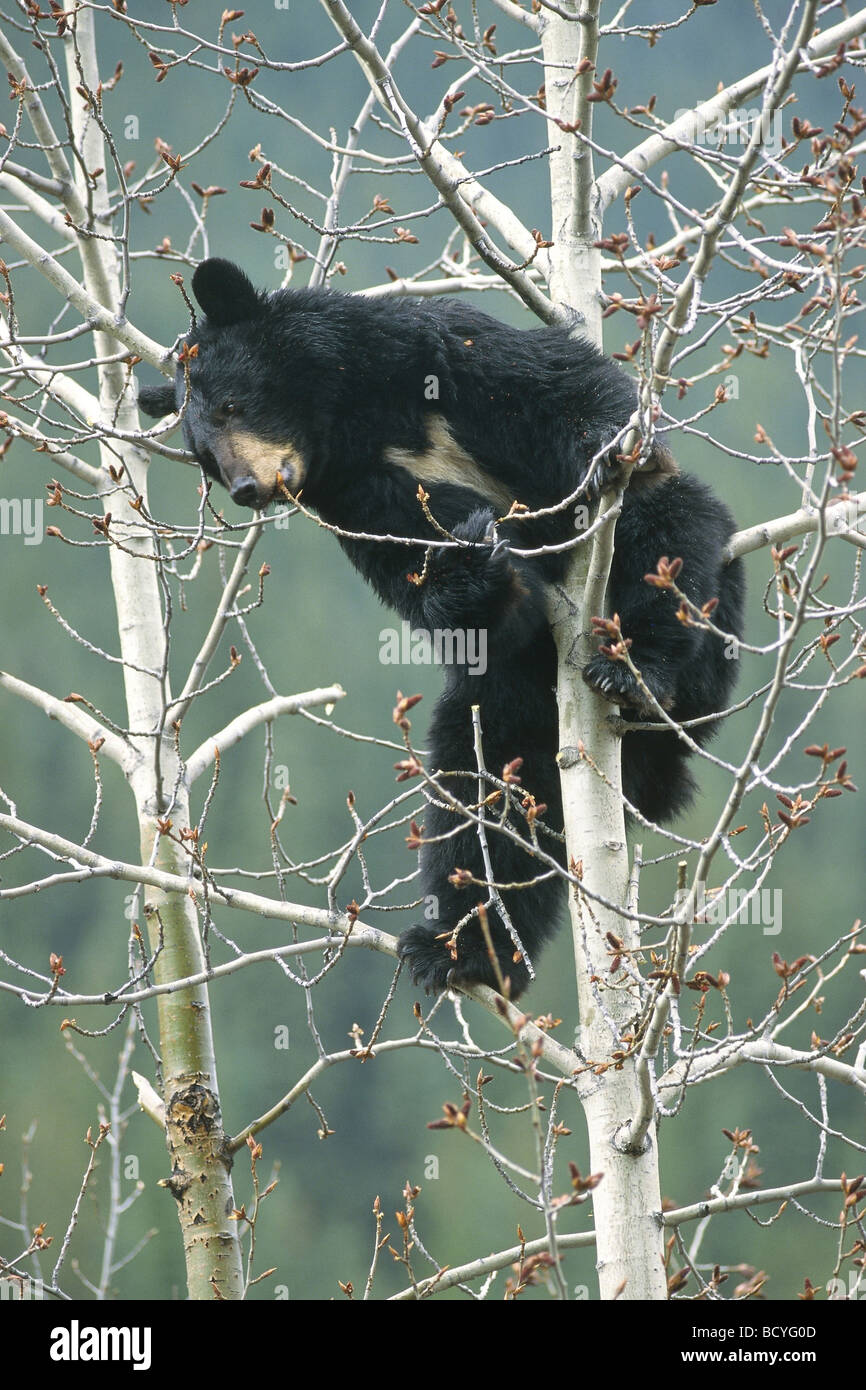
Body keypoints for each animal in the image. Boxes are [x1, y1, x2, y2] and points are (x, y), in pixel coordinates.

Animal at [139, 257, 745, 999]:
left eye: (231, 405)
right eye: (202, 456)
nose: (247, 488)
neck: (356, 421)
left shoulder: (436, 351)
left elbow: (563, 390)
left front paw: (602, 452)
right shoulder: (355, 496)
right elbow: (422, 572)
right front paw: (473, 568)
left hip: (707, 625)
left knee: (668, 530)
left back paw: (634, 671)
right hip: (509, 704)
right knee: (483, 797)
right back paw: (458, 946)